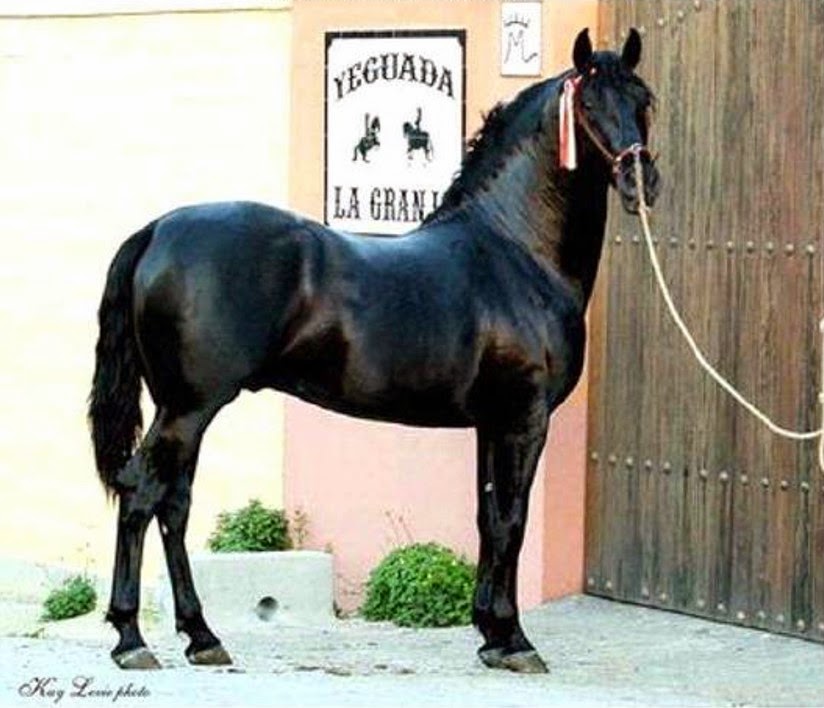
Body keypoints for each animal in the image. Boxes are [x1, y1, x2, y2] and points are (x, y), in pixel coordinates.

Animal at [89, 28, 659, 673]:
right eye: (588, 104)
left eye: (644, 100)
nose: (641, 182)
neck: (513, 251)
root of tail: (157, 230)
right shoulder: (524, 418)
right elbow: (512, 520)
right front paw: (515, 640)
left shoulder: (492, 423)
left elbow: (489, 519)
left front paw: (490, 633)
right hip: (189, 407)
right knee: (141, 494)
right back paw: (131, 639)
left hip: (183, 409)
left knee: (175, 504)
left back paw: (202, 636)